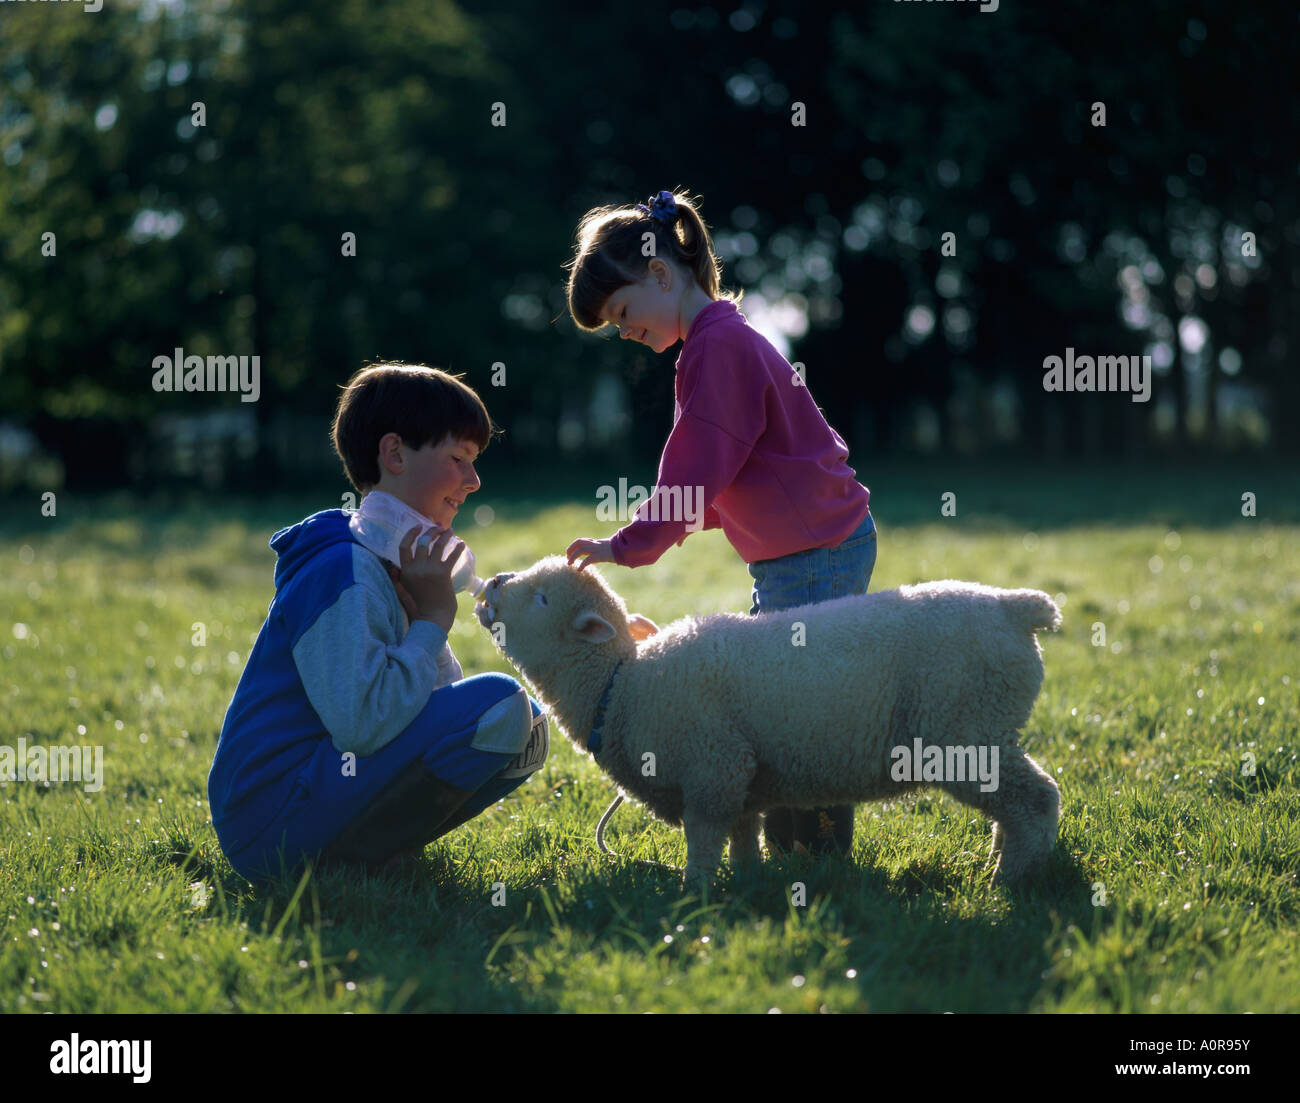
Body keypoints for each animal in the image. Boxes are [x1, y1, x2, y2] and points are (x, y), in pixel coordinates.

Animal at [475, 556, 1061, 888]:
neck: (622, 685)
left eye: (543, 597)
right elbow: (743, 832)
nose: (494, 583)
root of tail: (1016, 608)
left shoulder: (713, 768)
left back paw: (1010, 879)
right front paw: (747, 881)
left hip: (965, 730)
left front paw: (695, 891)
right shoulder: (741, 777)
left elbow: (705, 838)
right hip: (986, 733)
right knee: (1014, 804)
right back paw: (1001, 858)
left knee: (1037, 798)